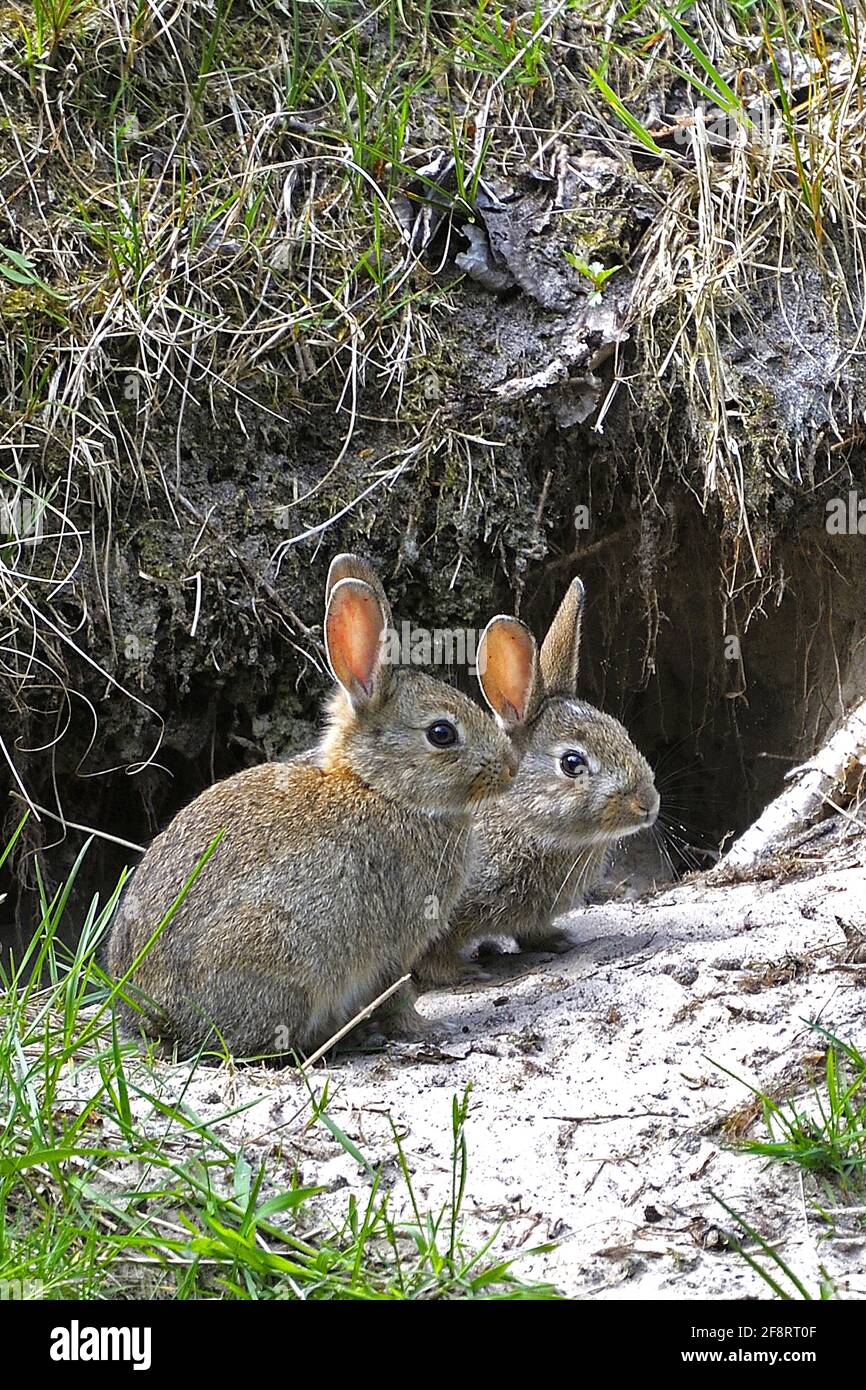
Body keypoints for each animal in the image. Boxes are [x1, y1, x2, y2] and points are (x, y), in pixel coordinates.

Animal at [107, 554, 537, 1059]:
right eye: (441, 733)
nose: (509, 767)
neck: (380, 789)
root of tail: (156, 1023)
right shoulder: (393, 944)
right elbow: (399, 991)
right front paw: (428, 1028)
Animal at [413, 577, 660, 987]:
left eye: (621, 731)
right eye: (572, 763)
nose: (648, 804)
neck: (518, 820)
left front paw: (557, 940)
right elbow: (434, 952)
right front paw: (465, 973)